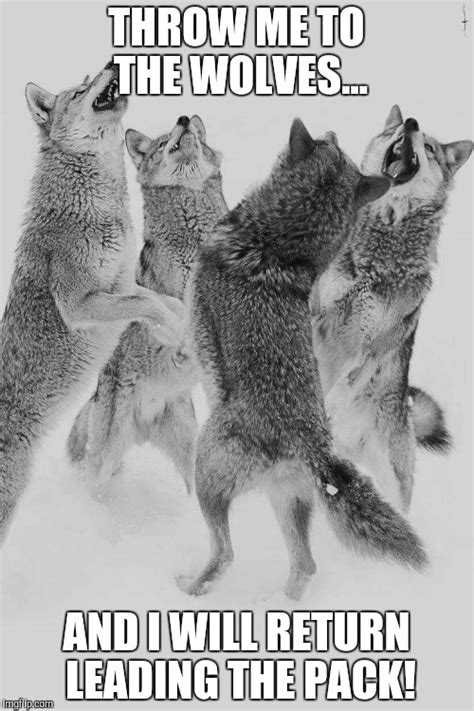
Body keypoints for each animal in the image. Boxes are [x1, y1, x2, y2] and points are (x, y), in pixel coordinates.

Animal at [0, 63, 184, 543]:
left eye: (90, 77)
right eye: (80, 91)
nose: (113, 65)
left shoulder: (120, 285)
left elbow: (157, 300)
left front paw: (183, 324)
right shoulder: (81, 305)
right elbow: (150, 306)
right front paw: (176, 333)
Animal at [67, 115, 227, 492]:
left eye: (196, 135)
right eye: (164, 141)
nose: (185, 118)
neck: (193, 236)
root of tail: (144, 430)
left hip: (190, 455)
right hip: (105, 458)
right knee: (94, 482)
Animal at [177, 119, 427, 600]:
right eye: (335, 145)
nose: (329, 129)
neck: (273, 244)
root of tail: (312, 445)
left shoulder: (192, 307)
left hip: (207, 473)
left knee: (225, 555)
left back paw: (188, 590)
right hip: (287, 502)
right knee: (305, 565)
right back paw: (282, 608)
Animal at [310, 105, 472, 511]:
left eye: (429, 148)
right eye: (395, 131)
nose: (411, 123)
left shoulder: (373, 346)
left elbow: (344, 383)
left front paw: (327, 407)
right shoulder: (318, 315)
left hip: (394, 484)